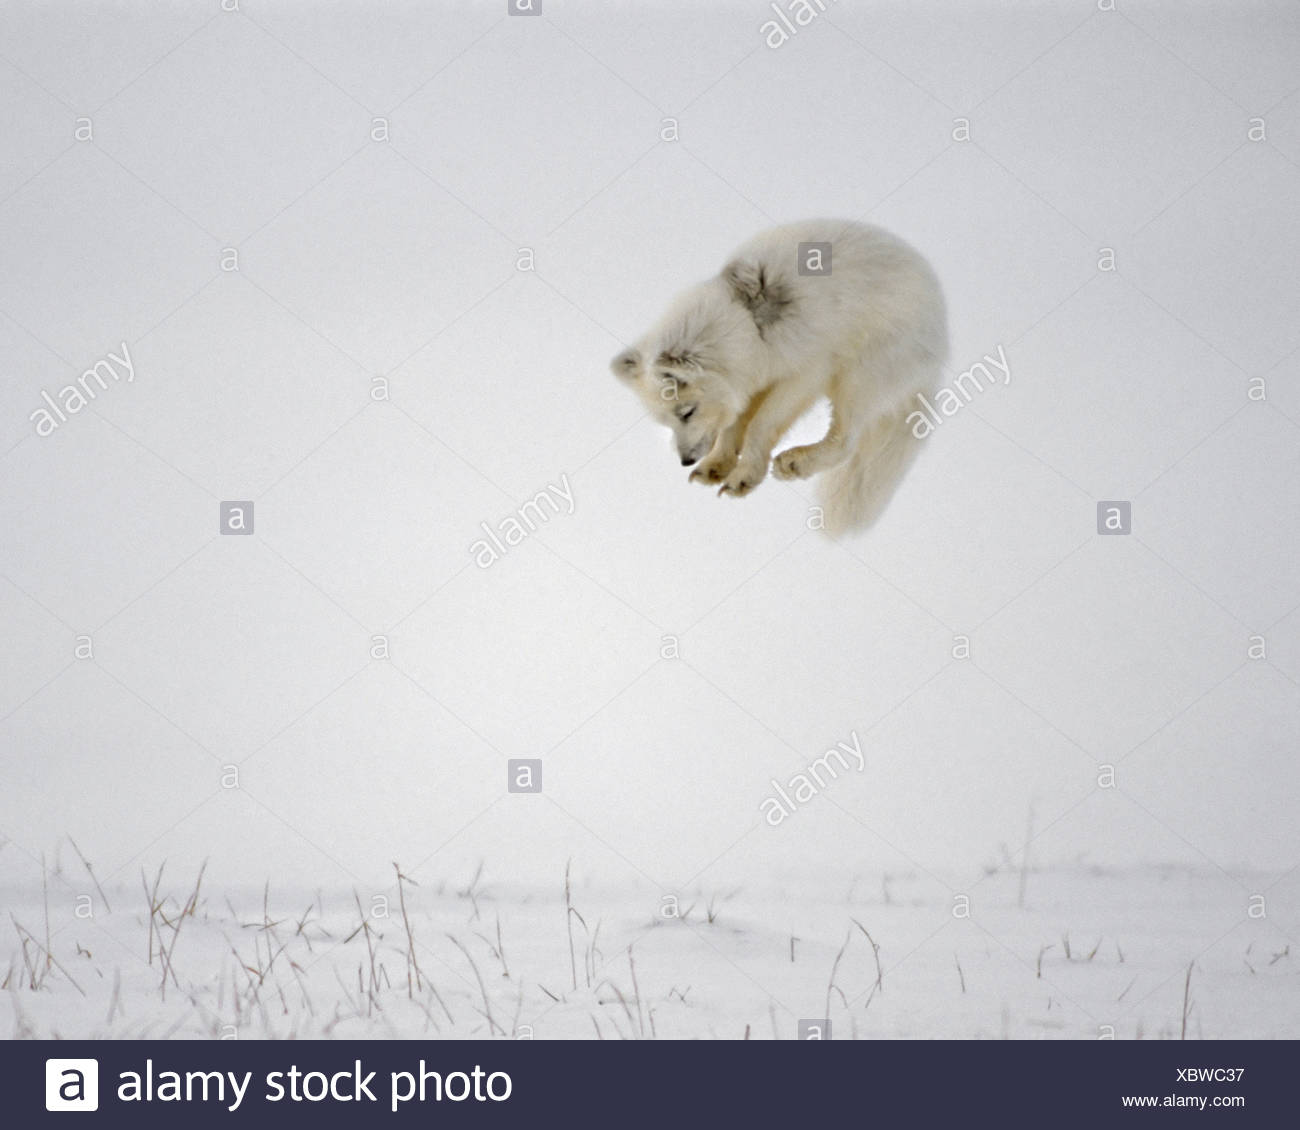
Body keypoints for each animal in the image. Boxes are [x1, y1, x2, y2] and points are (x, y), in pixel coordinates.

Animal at [610, 219, 948, 534]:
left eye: (687, 412)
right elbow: (732, 426)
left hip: (857, 378)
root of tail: (941, 344)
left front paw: (744, 477)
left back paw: (796, 462)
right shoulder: (746, 384)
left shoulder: (806, 373)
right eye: (667, 421)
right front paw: (718, 465)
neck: (748, 325)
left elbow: (760, 426)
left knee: (846, 443)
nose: (686, 461)